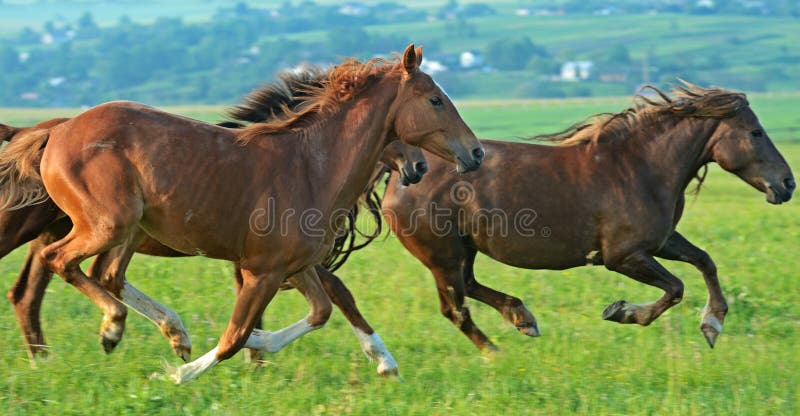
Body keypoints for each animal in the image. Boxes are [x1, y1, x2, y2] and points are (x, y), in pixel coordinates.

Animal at [0, 44, 484, 383]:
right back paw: (111, 329)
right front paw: (177, 375)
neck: (311, 166)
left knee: (101, 275)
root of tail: (54, 131)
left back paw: (162, 333)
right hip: (105, 225)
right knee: (61, 264)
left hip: (123, 231)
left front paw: (262, 346)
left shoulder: (294, 266)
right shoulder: (261, 270)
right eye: (435, 100)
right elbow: (233, 336)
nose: (475, 153)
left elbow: (322, 311)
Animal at [381, 81, 794, 352]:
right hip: (442, 254)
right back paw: (496, 351)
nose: (787, 184)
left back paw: (522, 318)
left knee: (467, 287)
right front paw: (622, 312)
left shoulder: (659, 242)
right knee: (455, 306)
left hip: (461, 250)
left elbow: (705, 261)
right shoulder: (622, 256)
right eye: (755, 133)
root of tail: (398, 176)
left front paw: (712, 324)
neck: (641, 168)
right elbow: (676, 287)